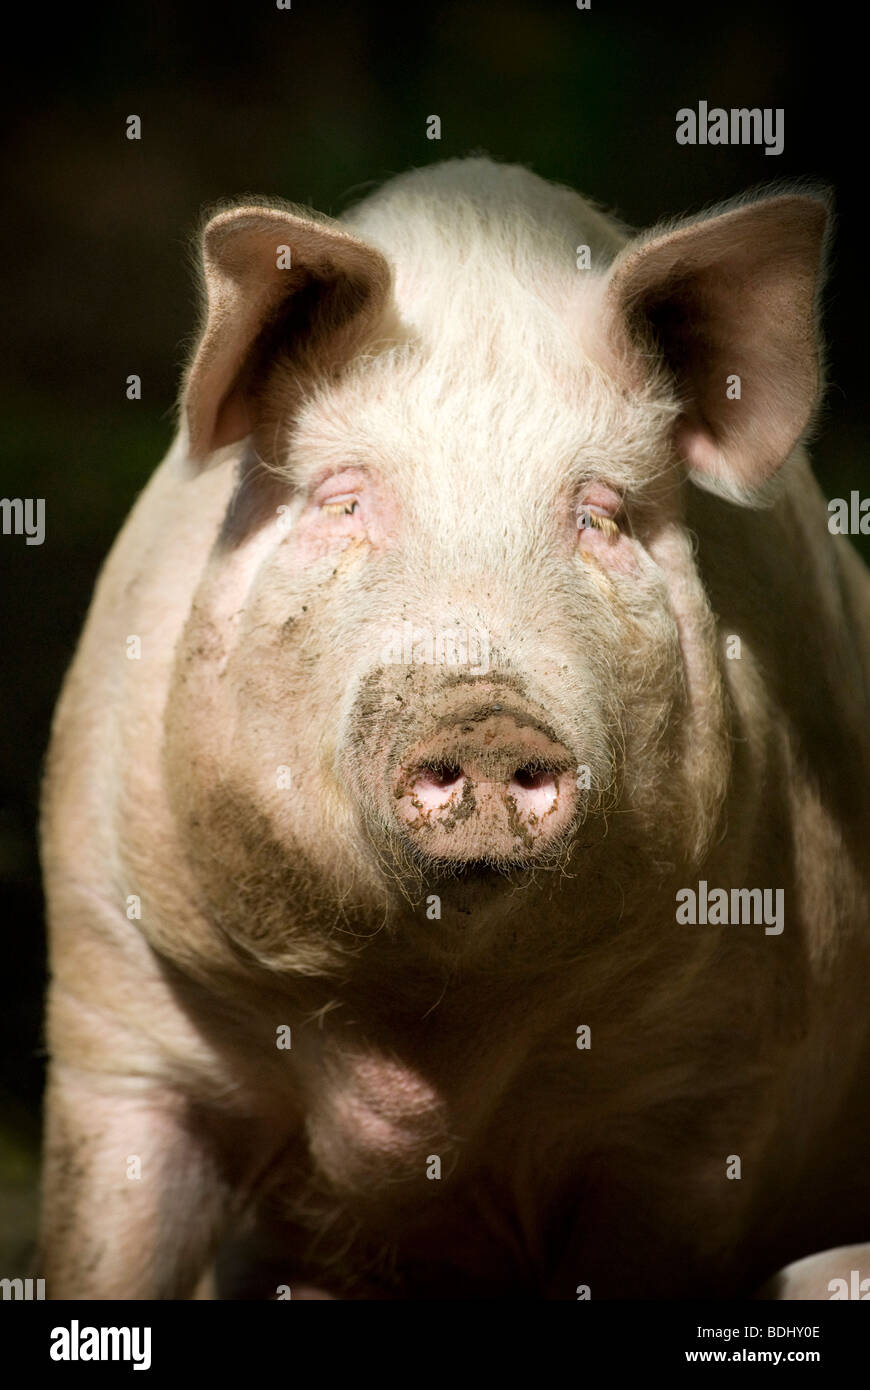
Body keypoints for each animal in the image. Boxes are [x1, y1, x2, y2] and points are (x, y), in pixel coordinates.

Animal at [38, 157, 870, 1300]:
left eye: (602, 516)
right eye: (343, 501)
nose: (485, 712)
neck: (424, 1034)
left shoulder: (707, 1099)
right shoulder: (111, 1013)